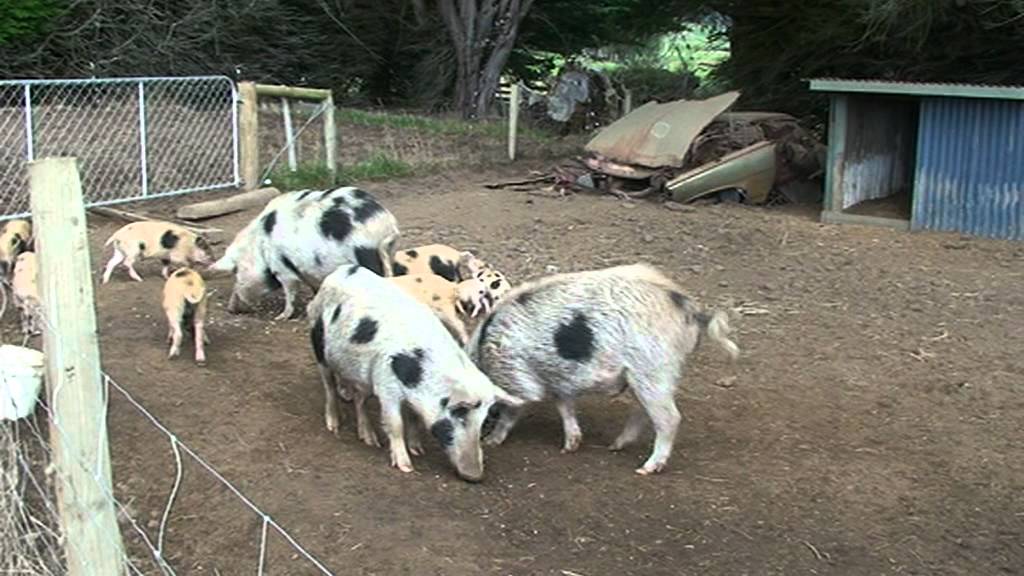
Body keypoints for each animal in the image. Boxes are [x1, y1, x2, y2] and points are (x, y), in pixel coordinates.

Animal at [209, 186, 400, 321]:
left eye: (236, 271)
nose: (231, 308)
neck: (260, 247)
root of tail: (385, 226)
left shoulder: (281, 267)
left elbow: (290, 291)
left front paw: (280, 317)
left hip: (366, 257)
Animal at [307, 264, 524, 482]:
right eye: (459, 414)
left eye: (482, 421)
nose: (475, 476)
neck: (417, 377)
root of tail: (341, 270)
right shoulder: (386, 386)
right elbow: (395, 424)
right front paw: (406, 467)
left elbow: (414, 420)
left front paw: (418, 450)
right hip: (318, 343)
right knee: (329, 385)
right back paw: (334, 425)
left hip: (363, 371)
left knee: (359, 398)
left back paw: (369, 439)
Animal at [465, 263, 740, 476]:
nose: (479, 437)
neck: (481, 353)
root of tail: (690, 310)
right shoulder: (557, 379)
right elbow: (565, 407)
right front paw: (570, 447)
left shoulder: (516, 379)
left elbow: (513, 411)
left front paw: (492, 441)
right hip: (647, 376)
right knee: (644, 411)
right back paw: (615, 446)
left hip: (653, 368)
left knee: (670, 418)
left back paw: (645, 469)